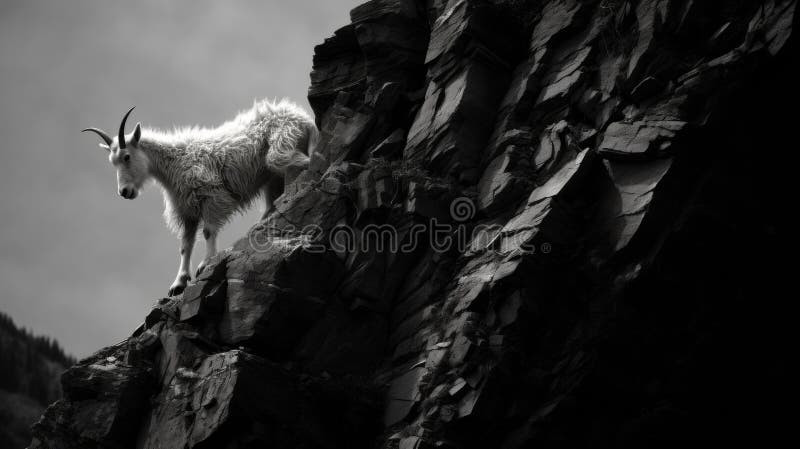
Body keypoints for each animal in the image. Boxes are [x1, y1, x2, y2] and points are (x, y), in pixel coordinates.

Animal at [82, 99, 318, 296]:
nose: (125, 192)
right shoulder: (186, 210)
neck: (174, 162)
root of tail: (304, 119)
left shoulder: (211, 196)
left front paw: (206, 263)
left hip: (281, 148)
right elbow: (185, 245)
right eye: (113, 162)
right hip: (271, 177)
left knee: (302, 164)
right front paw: (178, 283)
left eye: (127, 157)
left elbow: (208, 231)